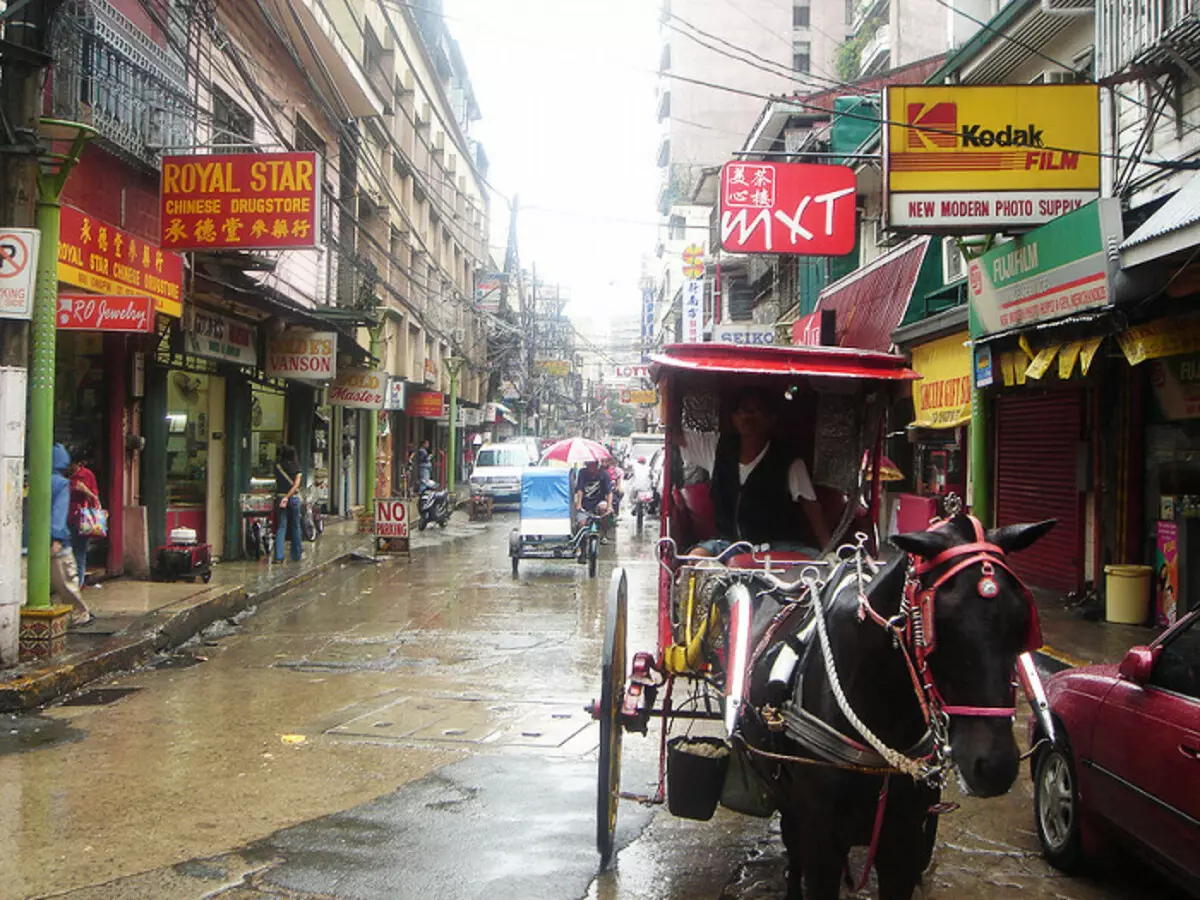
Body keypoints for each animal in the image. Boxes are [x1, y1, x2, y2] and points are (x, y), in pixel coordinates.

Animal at [734, 513, 1056, 900]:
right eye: (938, 625)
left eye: (1023, 621)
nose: (995, 766)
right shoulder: (821, 840)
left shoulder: (904, 842)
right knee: (793, 847)